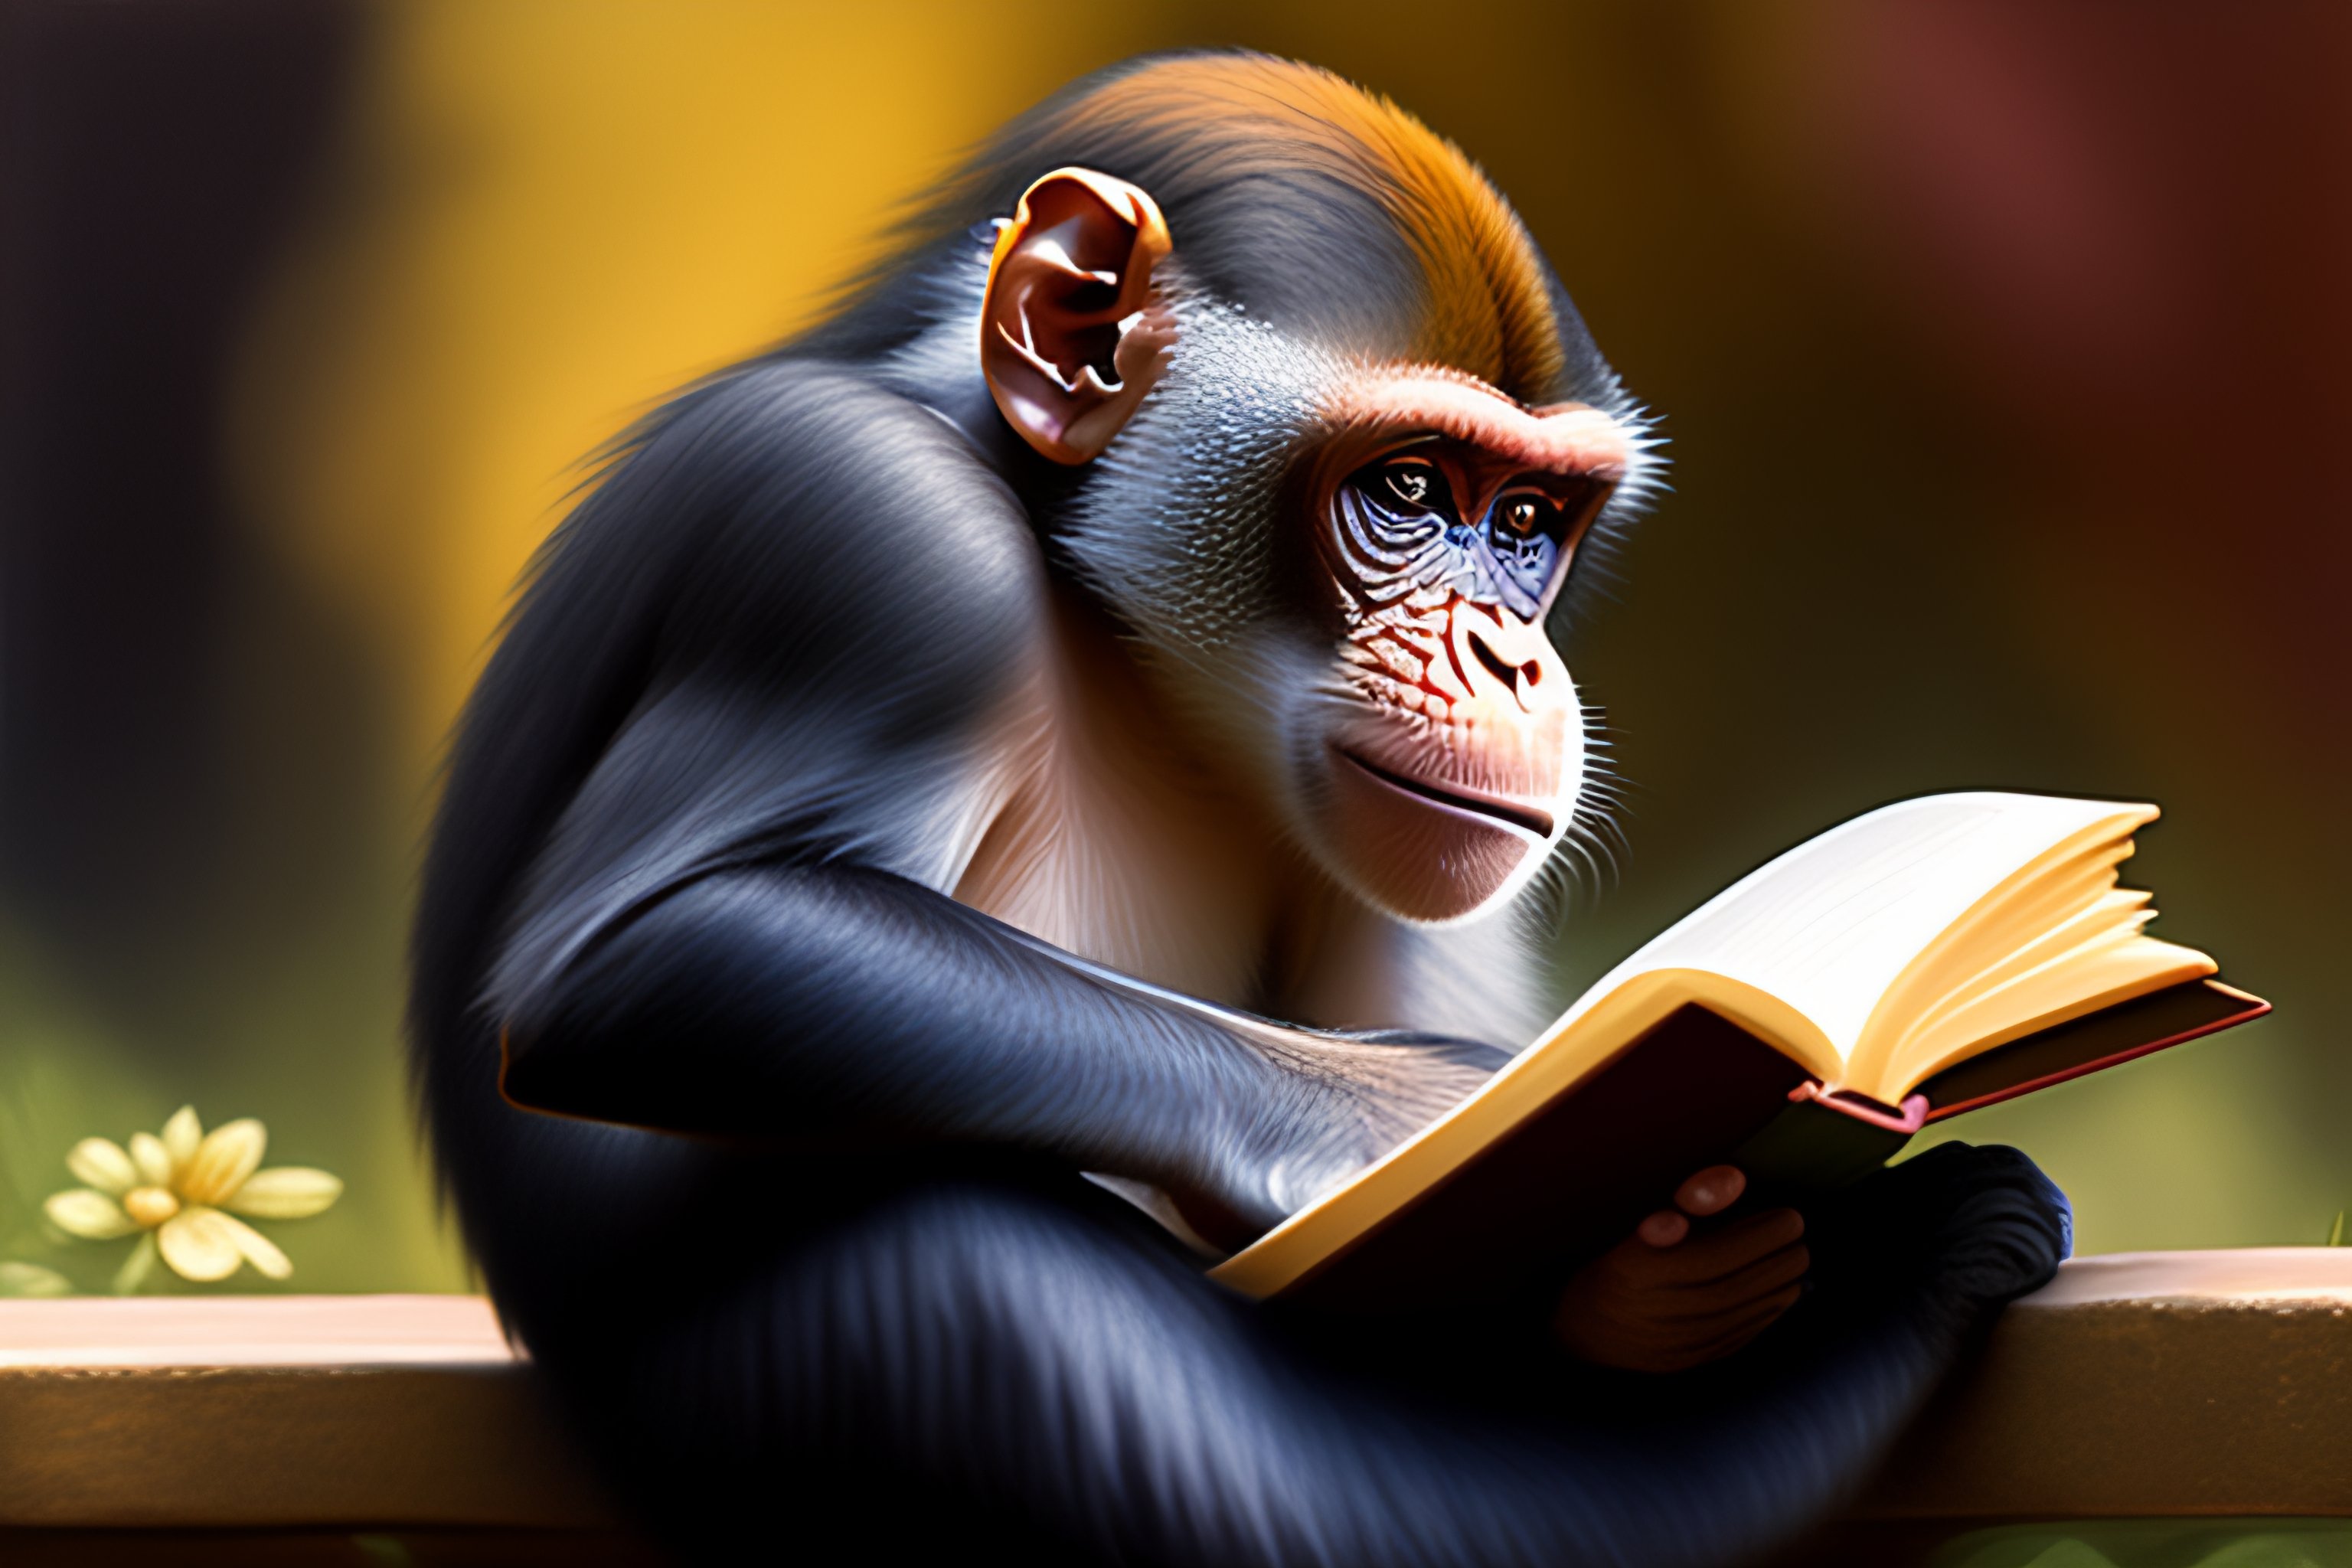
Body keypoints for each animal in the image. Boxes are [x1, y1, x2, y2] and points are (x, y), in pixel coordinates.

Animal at [410, 52, 2070, 1566]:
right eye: (1408, 490)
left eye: (1529, 520)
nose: (1511, 653)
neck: (1086, 593)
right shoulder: (858, 527)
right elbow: (658, 942)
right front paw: (1423, 1122)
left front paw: (1659, 1269)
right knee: (1012, 1294)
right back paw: (1897, 1278)